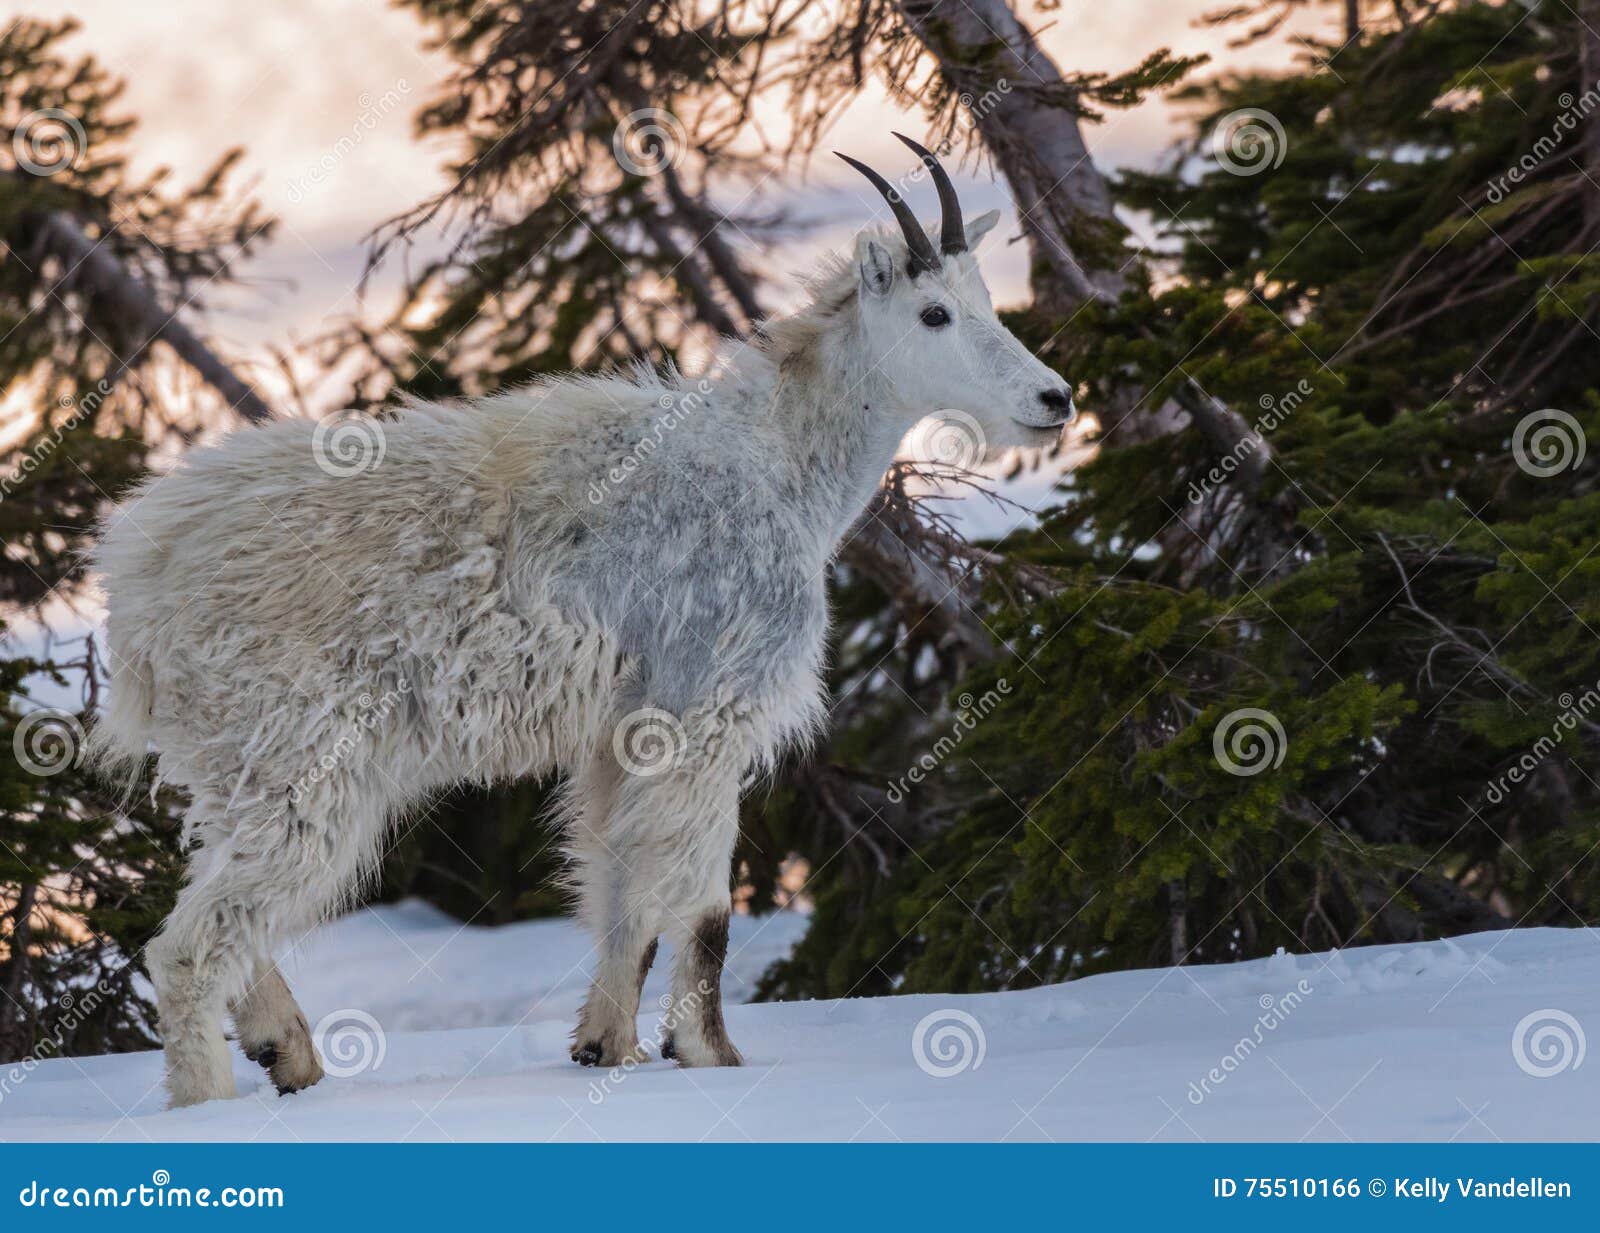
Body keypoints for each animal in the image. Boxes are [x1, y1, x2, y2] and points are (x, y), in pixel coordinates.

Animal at [89, 135, 1075, 1107]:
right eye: (935, 313)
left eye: (986, 301)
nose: (1054, 399)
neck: (784, 467)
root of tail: (136, 582)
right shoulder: (706, 706)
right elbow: (704, 905)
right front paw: (711, 1055)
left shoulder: (619, 733)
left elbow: (621, 895)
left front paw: (606, 1046)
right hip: (300, 755)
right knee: (191, 944)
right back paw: (214, 1099)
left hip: (241, 768)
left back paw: (286, 1050)